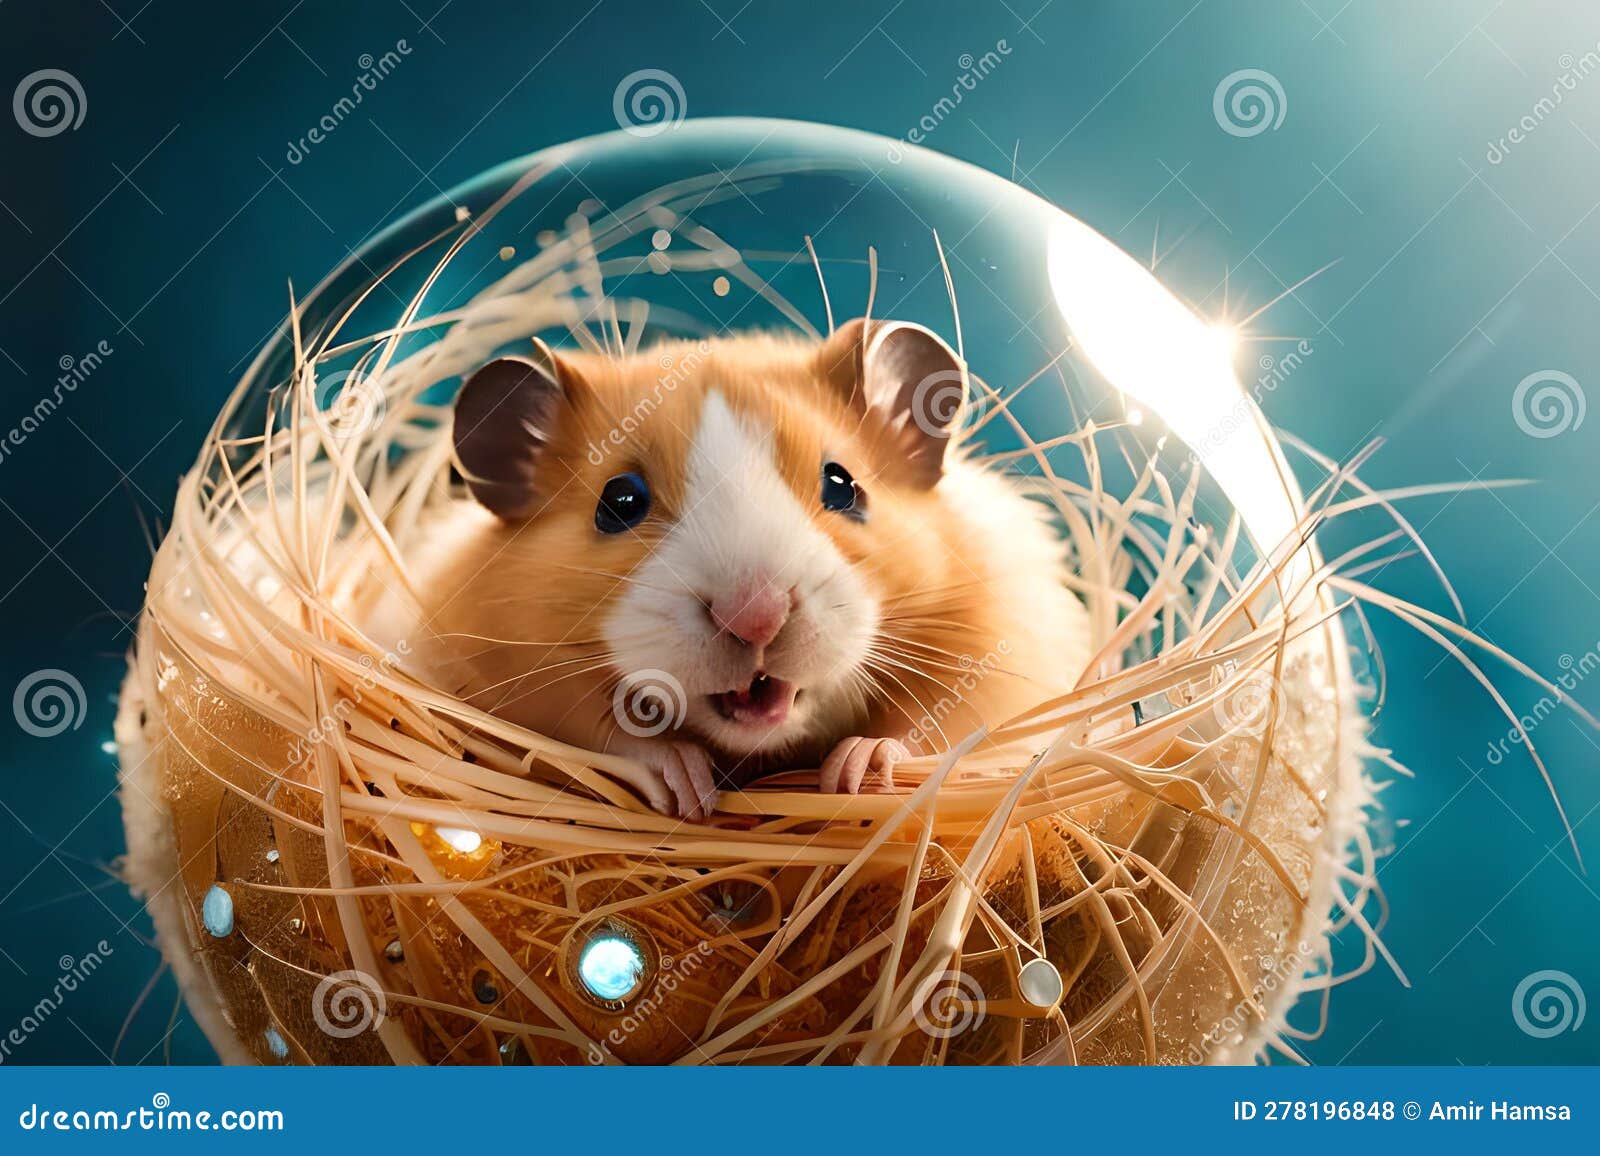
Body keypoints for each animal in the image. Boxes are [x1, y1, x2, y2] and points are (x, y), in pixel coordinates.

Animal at [399, 319, 1090, 820]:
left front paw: (858, 773)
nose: (756, 616)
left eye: (843, 485)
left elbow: (934, 726)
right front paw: (687, 788)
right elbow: (600, 739)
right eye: (618, 502)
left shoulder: (996, 649)